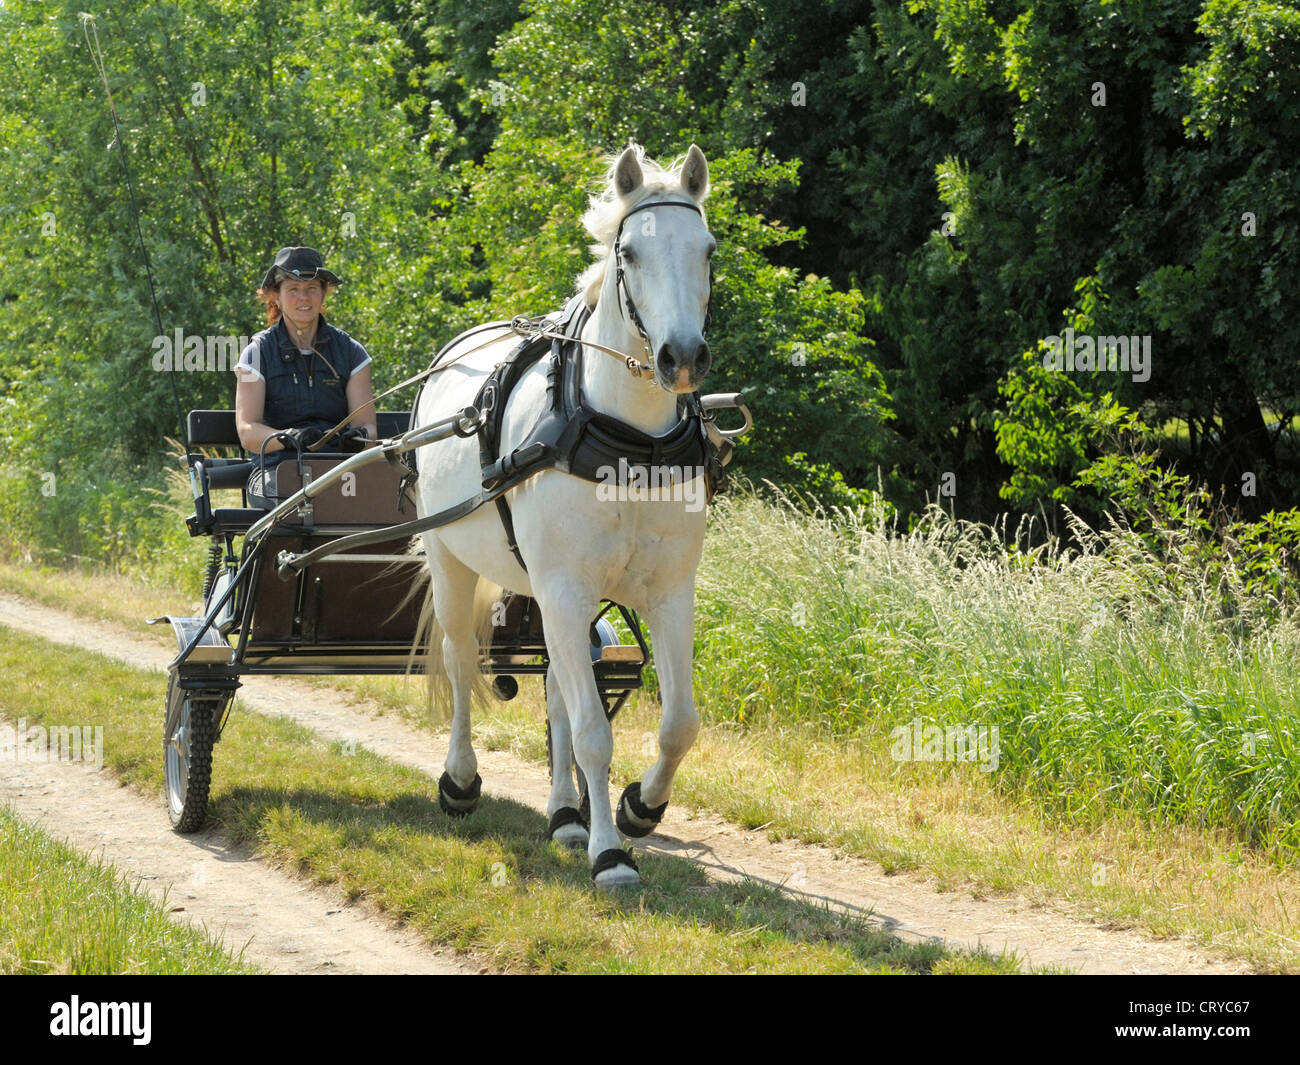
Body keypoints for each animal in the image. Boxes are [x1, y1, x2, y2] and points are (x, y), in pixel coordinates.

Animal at [413, 143, 716, 888]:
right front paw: (609, 853)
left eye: (708, 251)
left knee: (554, 686)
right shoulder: (566, 588)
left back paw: (563, 815)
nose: (683, 358)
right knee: (460, 660)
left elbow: (678, 723)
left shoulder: (668, 593)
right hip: (452, 560)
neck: (628, 440)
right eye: (629, 252)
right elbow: (592, 733)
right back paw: (460, 780)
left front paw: (638, 807)